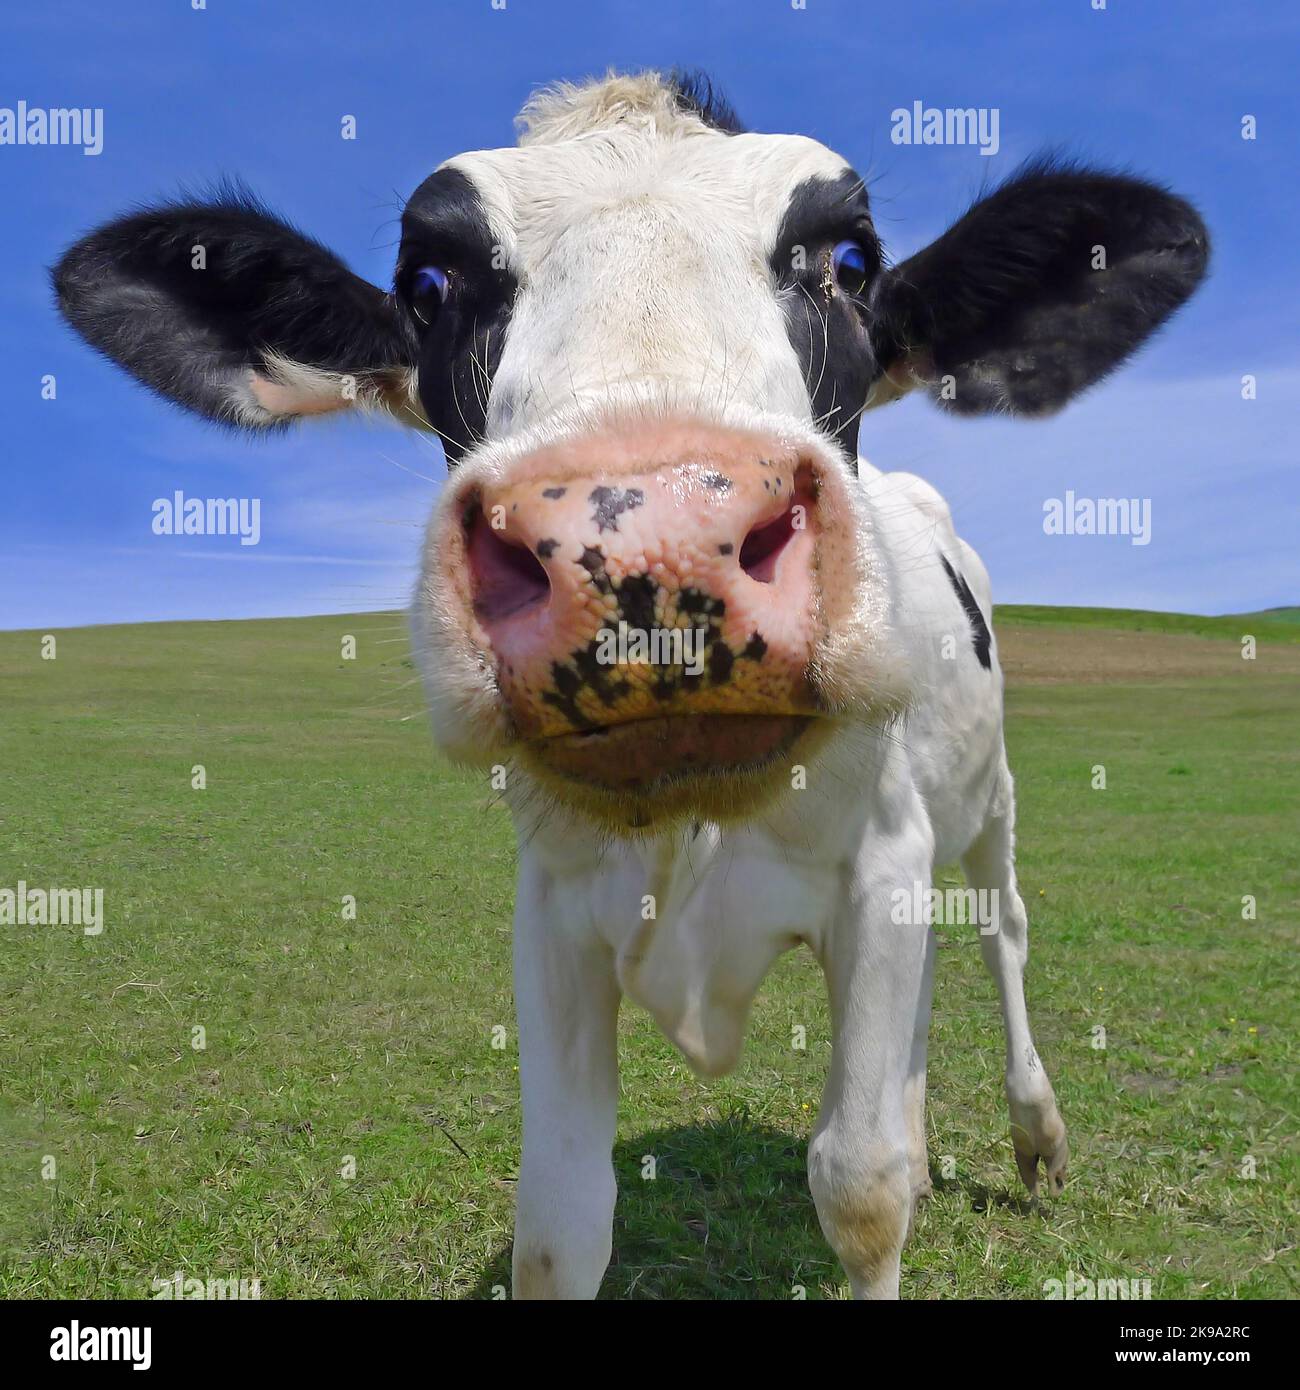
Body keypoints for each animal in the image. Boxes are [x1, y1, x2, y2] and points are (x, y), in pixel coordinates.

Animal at [53, 70, 1208, 1299]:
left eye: (850, 262)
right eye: (427, 285)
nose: (652, 535)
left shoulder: (879, 859)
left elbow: (859, 1185)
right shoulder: (555, 909)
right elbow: (560, 1221)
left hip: (987, 803)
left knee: (1001, 929)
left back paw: (1036, 1135)